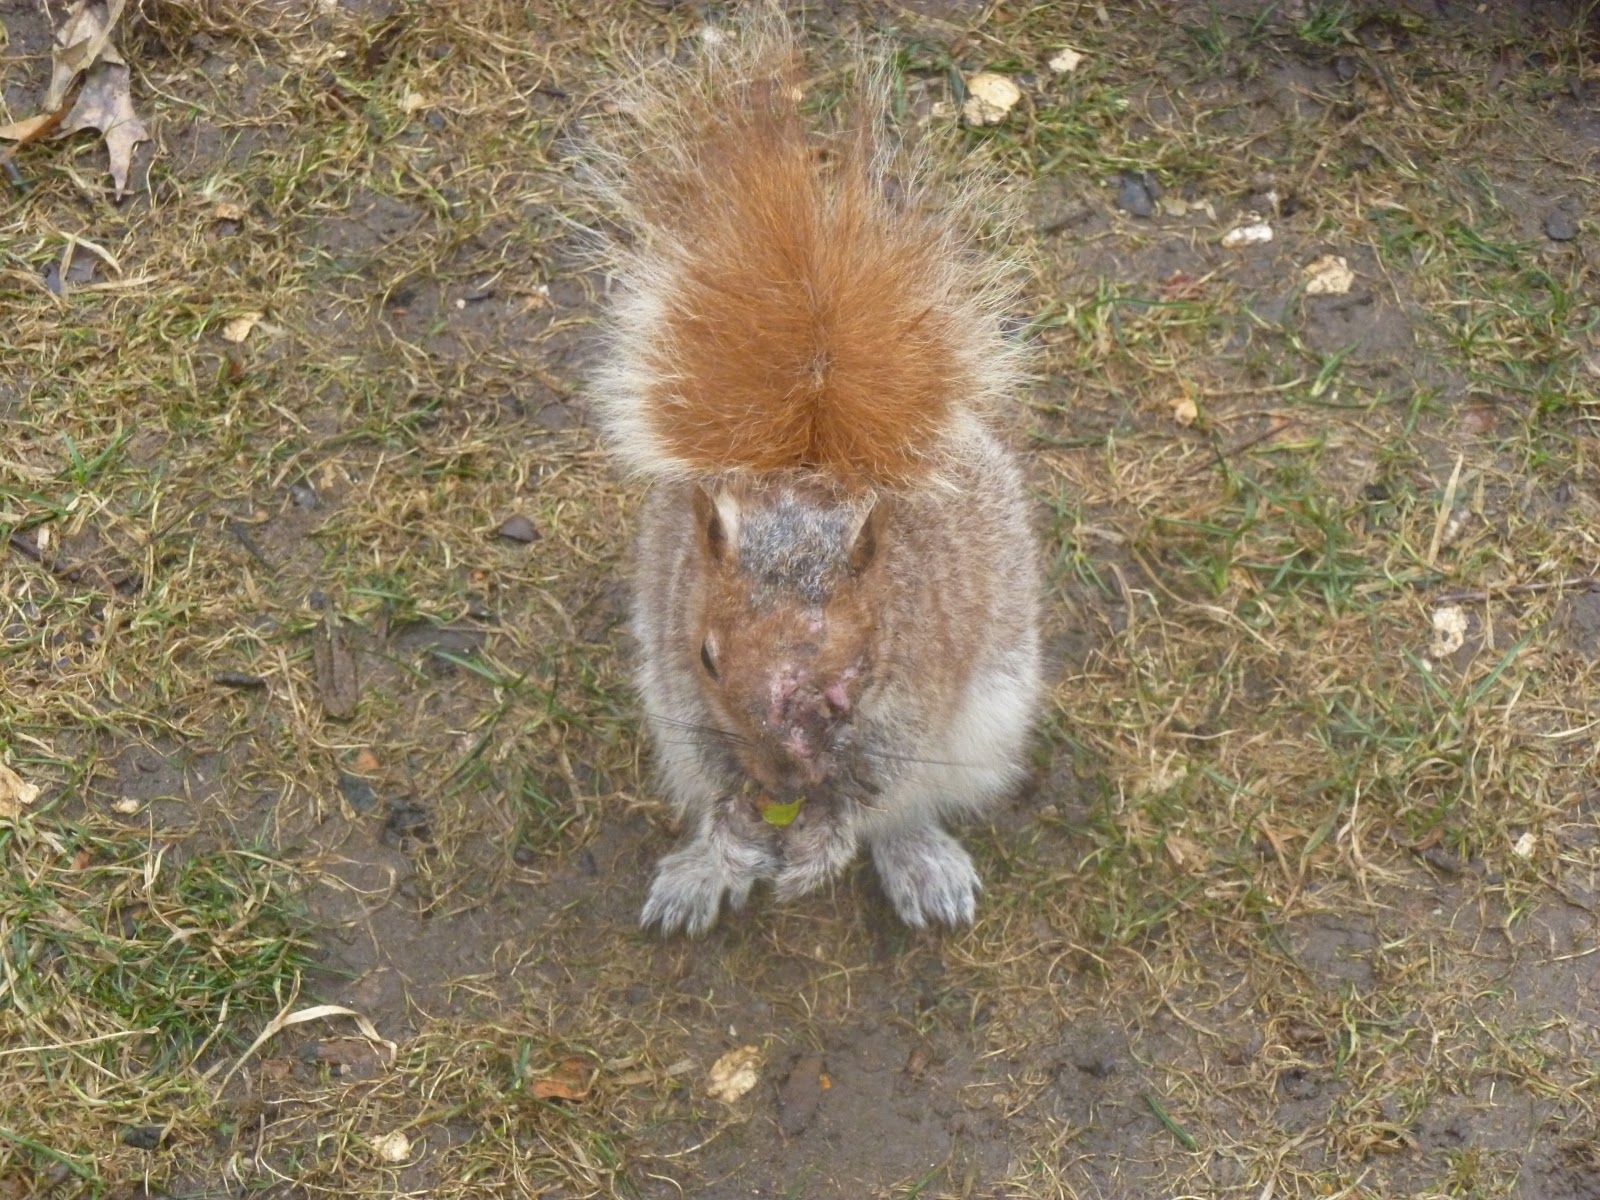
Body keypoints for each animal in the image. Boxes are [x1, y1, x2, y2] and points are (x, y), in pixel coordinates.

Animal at [586, 18, 1043, 936]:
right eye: (706, 655)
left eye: (860, 659)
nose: (782, 784)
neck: (801, 512)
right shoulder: (680, 680)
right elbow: (715, 765)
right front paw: (732, 834)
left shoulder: (913, 693)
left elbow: (882, 783)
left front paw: (827, 837)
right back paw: (704, 868)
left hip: (988, 715)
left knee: (910, 808)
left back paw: (917, 862)